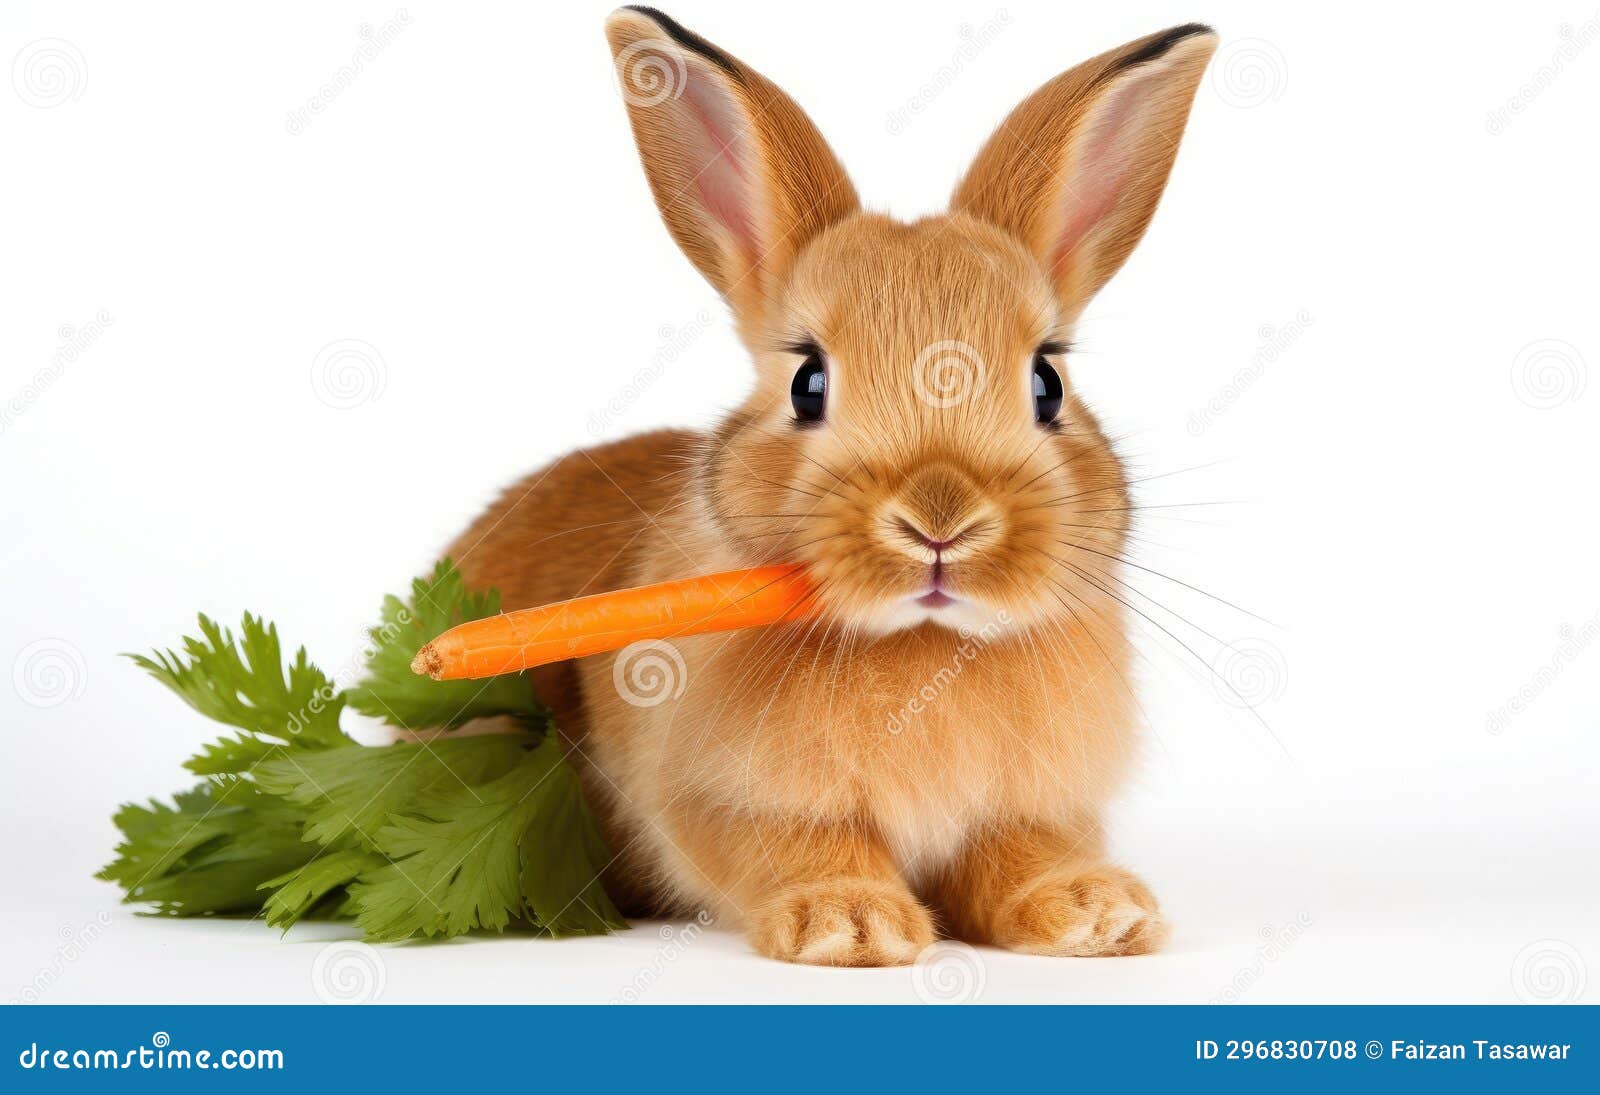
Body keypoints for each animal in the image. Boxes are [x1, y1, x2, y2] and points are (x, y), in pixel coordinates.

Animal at [446, 7, 1218, 966]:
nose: (940, 517)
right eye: (807, 383)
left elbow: (1024, 851)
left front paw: (1096, 912)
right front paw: (849, 925)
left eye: (1048, 382)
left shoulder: (1030, 805)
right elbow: (799, 846)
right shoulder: (727, 800)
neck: (922, 644)